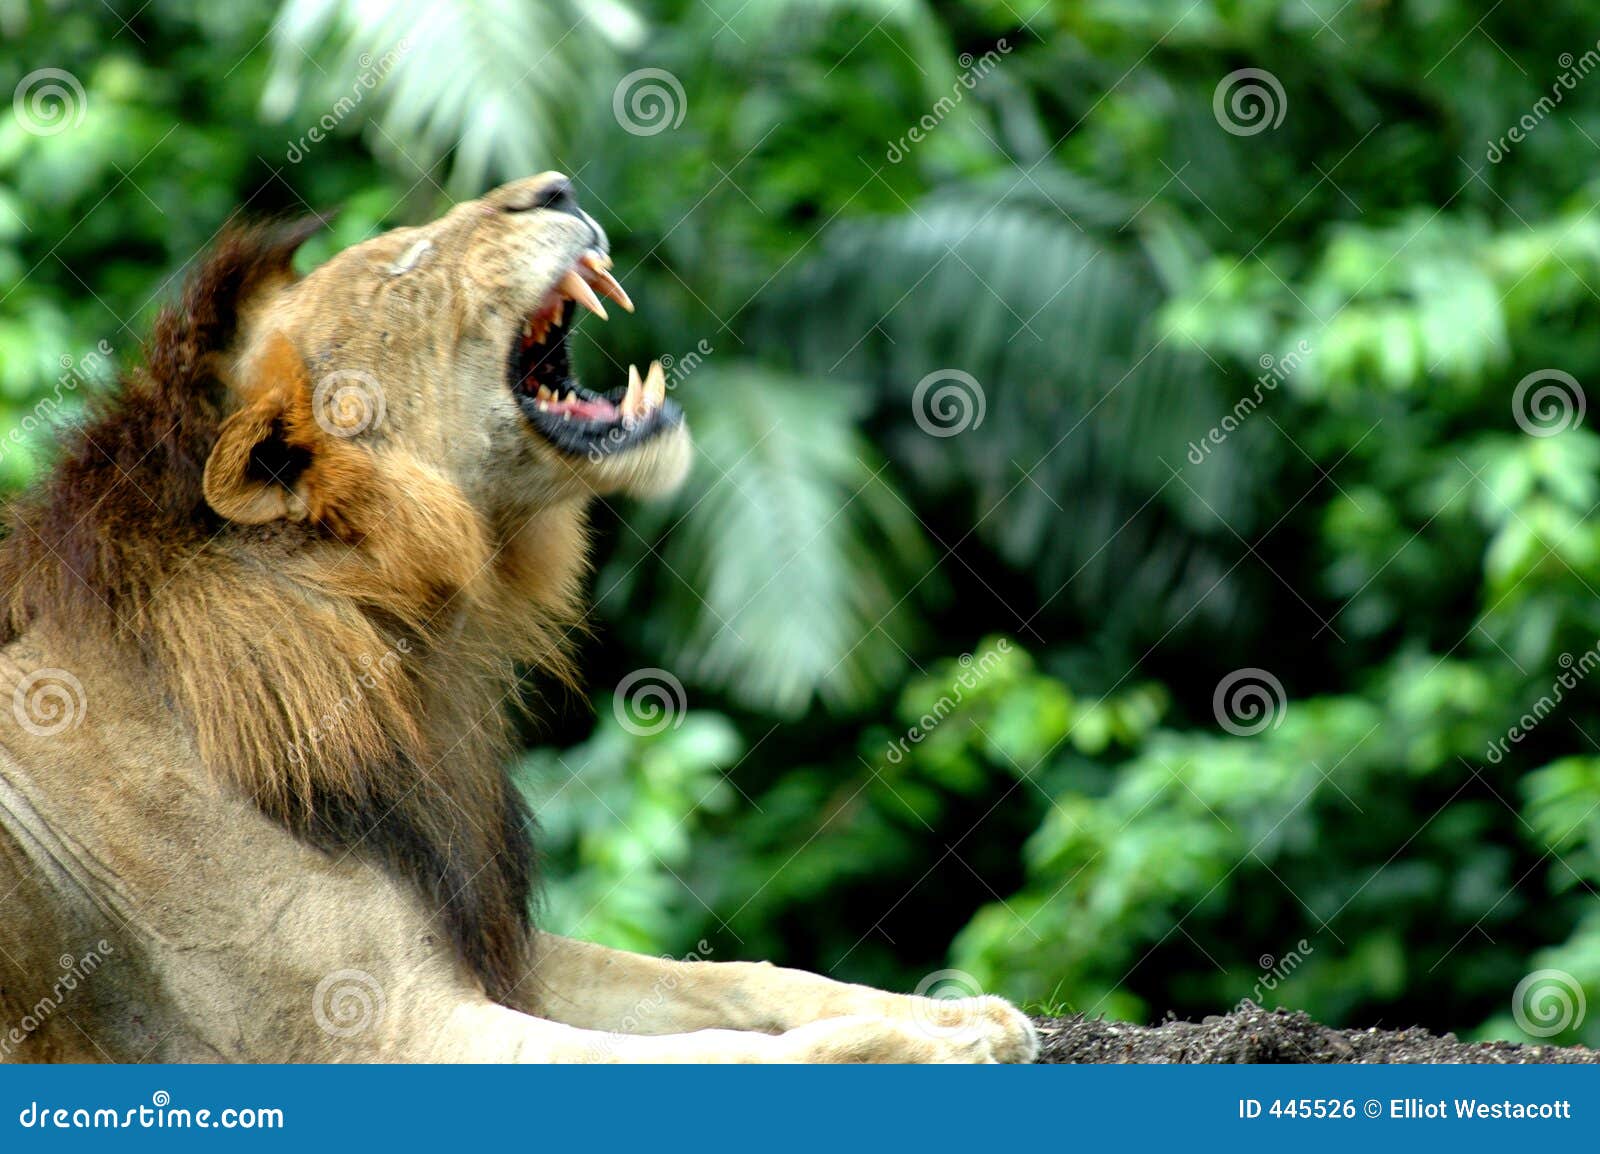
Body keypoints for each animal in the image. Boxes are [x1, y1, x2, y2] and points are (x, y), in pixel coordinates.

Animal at [0, 173, 1037, 1063]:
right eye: (405, 264)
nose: (556, 189)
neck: (410, 634)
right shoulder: (384, 1030)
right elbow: (729, 1052)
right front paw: (931, 1044)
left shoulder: (489, 939)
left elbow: (742, 980)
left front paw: (961, 1011)